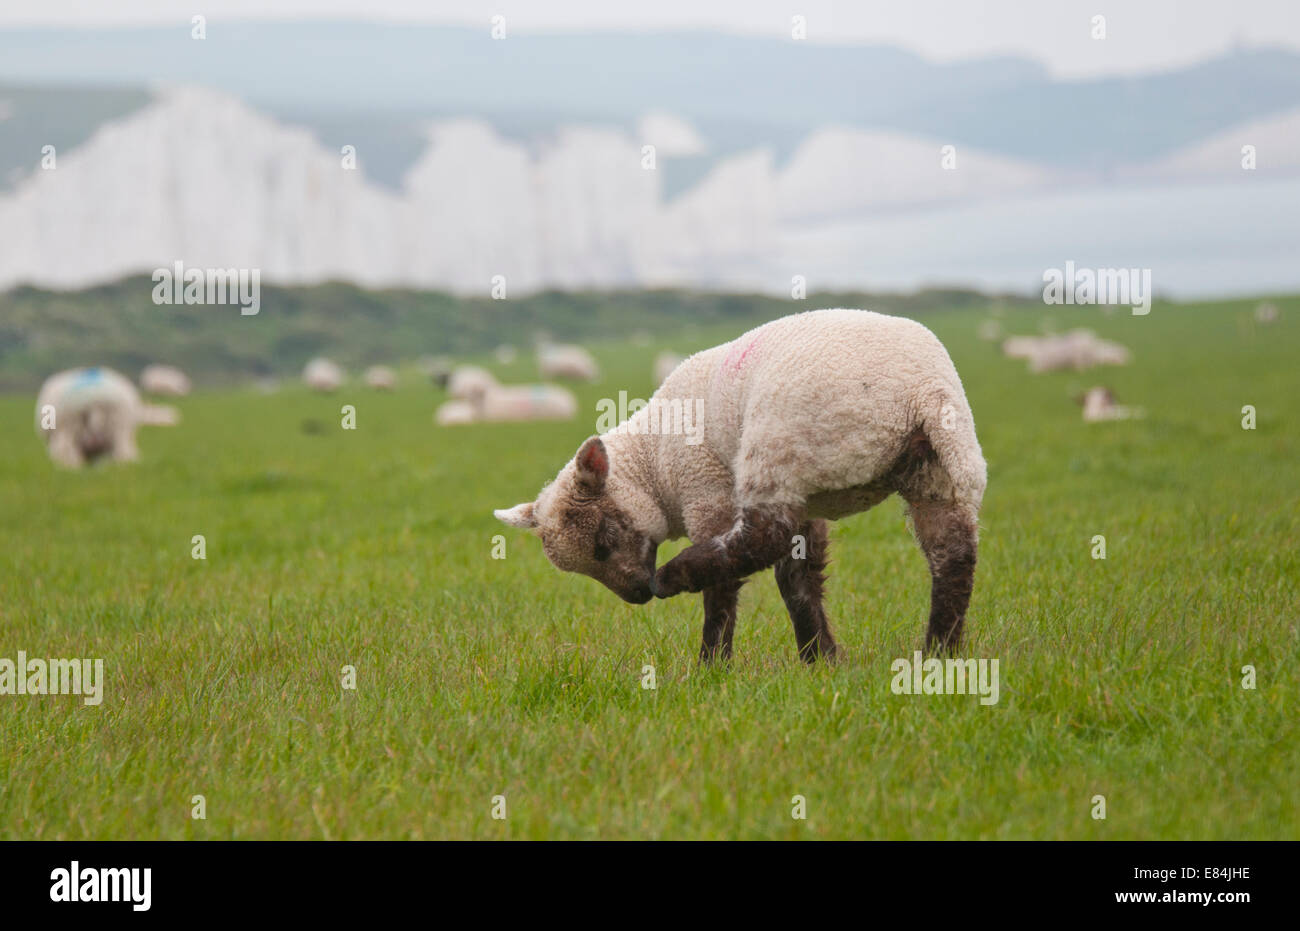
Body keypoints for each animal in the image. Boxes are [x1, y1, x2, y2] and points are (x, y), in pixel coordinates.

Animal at [496, 308, 987, 663]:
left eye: (602, 541)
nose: (638, 595)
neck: (653, 461)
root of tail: (924, 391)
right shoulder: (806, 498)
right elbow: (799, 575)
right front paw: (821, 659)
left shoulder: (705, 490)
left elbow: (727, 589)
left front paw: (712, 667)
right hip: (931, 470)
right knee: (953, 556)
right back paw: (940, 652)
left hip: (777, 449)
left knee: (761, 538)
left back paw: (675, 575)